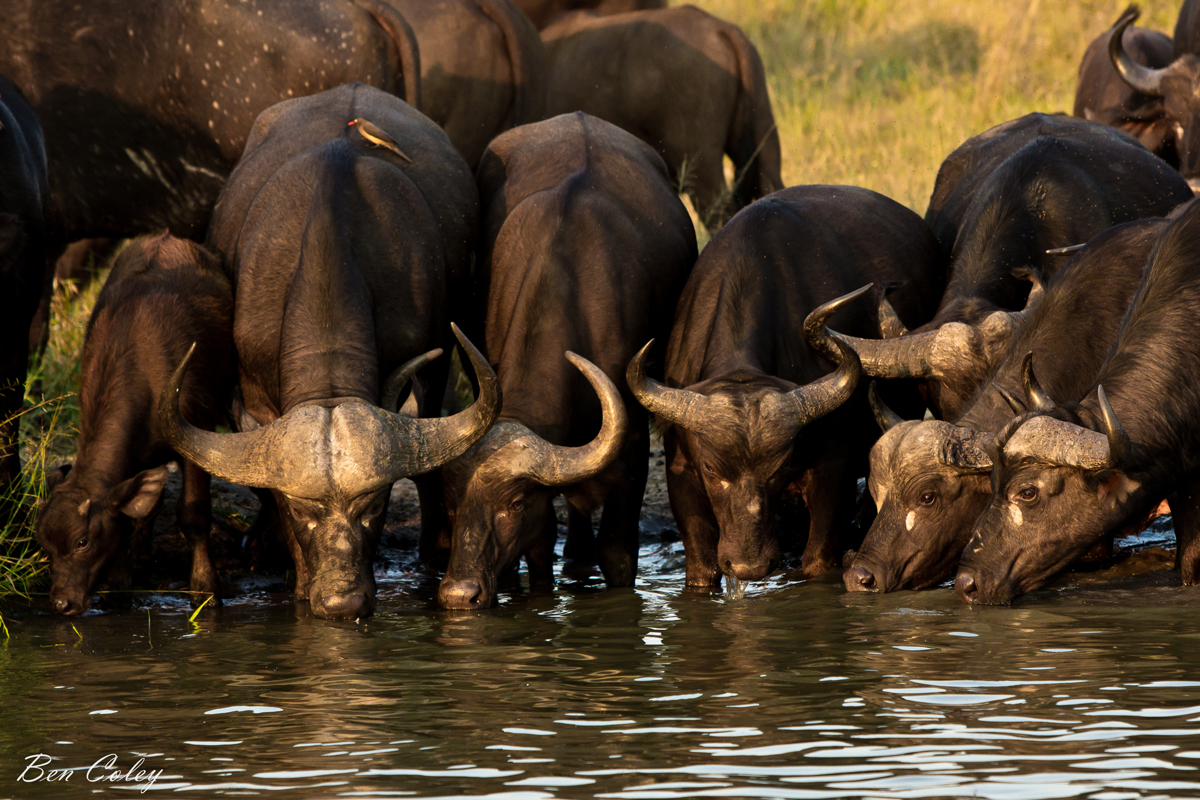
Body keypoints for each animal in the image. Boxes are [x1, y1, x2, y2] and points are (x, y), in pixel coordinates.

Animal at [38, 233, 234, 615]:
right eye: (45, 546)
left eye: (83, 542)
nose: (61, 603)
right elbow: (130, 515)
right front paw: (121, 589)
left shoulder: (195, 430)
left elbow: (193, 514)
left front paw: (206, 590)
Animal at [437, 112, 696, 609]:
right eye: (452, 501)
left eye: (515, 503)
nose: (459, 593)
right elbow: (539, 551)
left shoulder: (632, 454)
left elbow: (617, 552)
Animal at [628, 186, 945, 586]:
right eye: (712, 469)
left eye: (780, 467)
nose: (748, 566)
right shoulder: (681, 472)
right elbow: (701, 566)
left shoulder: (832, 469)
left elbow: (818, 559)